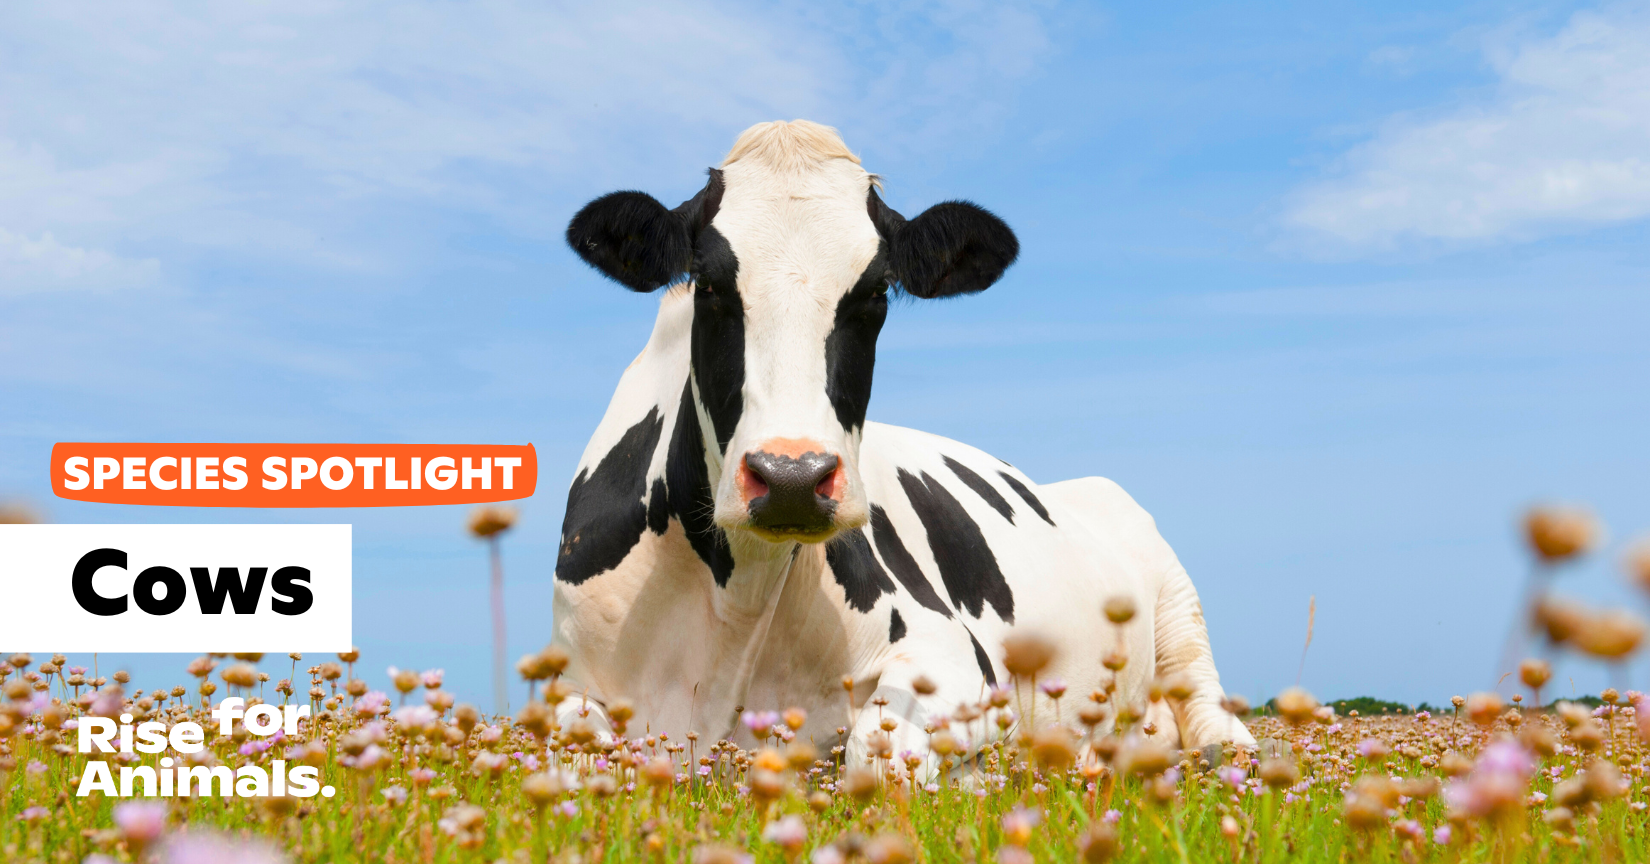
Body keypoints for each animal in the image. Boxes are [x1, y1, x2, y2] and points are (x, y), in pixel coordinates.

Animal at [551, 120, 1254, 774]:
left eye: (874, 291)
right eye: (709, 283)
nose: (791, 478)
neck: (734, 608)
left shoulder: (954, 654)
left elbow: (875, 750)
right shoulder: (570, 677)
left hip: (1178, 606)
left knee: (1212, 713)